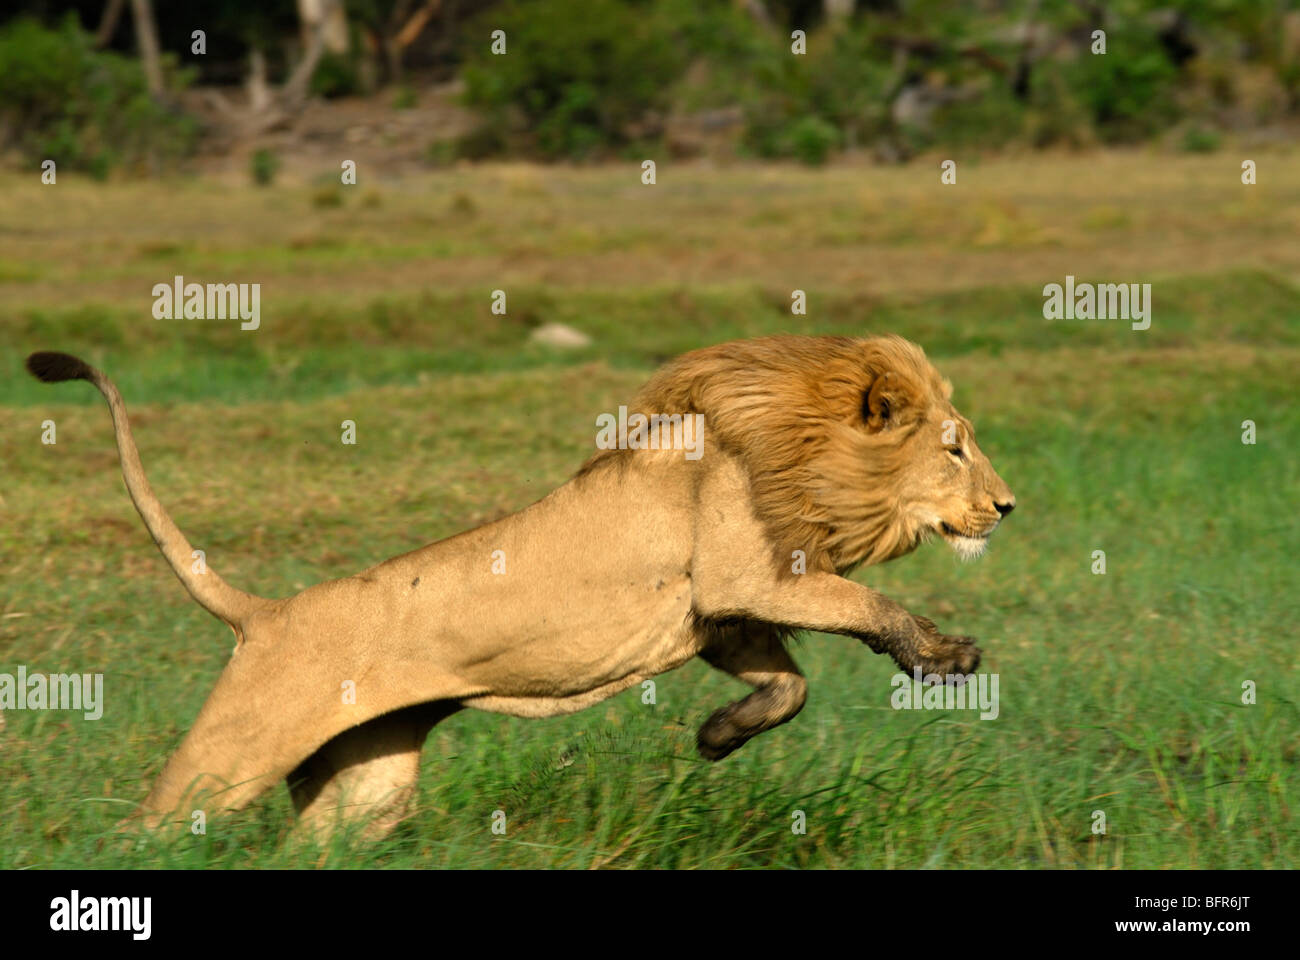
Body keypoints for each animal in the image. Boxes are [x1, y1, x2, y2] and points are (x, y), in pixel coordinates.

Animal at [25, 334, 1014, 840]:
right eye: (954, 448)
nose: (1008, 506)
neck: (797, 439)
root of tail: (263, 613)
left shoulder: (722, 614)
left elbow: (789, 686)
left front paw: (716, 738)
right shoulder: (751, 574)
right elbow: (868, 609)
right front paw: (946, 658)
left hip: (367, 789)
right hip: (230, 761)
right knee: (143, 835)